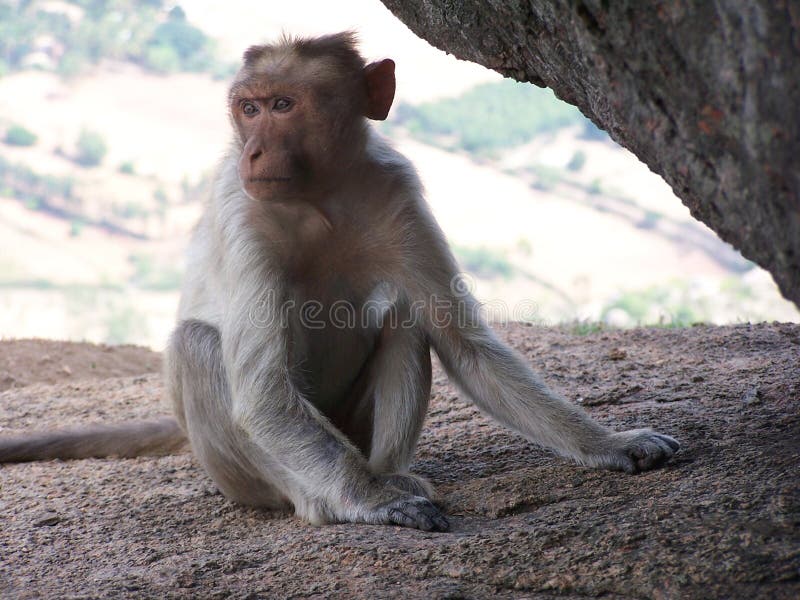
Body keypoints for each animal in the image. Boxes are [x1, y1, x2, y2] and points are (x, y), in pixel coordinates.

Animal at [0, 32, 679, 532]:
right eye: (248, 108)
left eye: (283, 105)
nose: (251, 151)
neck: (320, 197)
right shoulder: (242, 210)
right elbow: (264, 394)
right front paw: (374, 502)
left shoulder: (397, 192)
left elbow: (464, 344)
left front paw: (611, 442)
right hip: (241, 473)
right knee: (199, 345)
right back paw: (333, 500)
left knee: (406, 321)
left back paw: (391, 471)